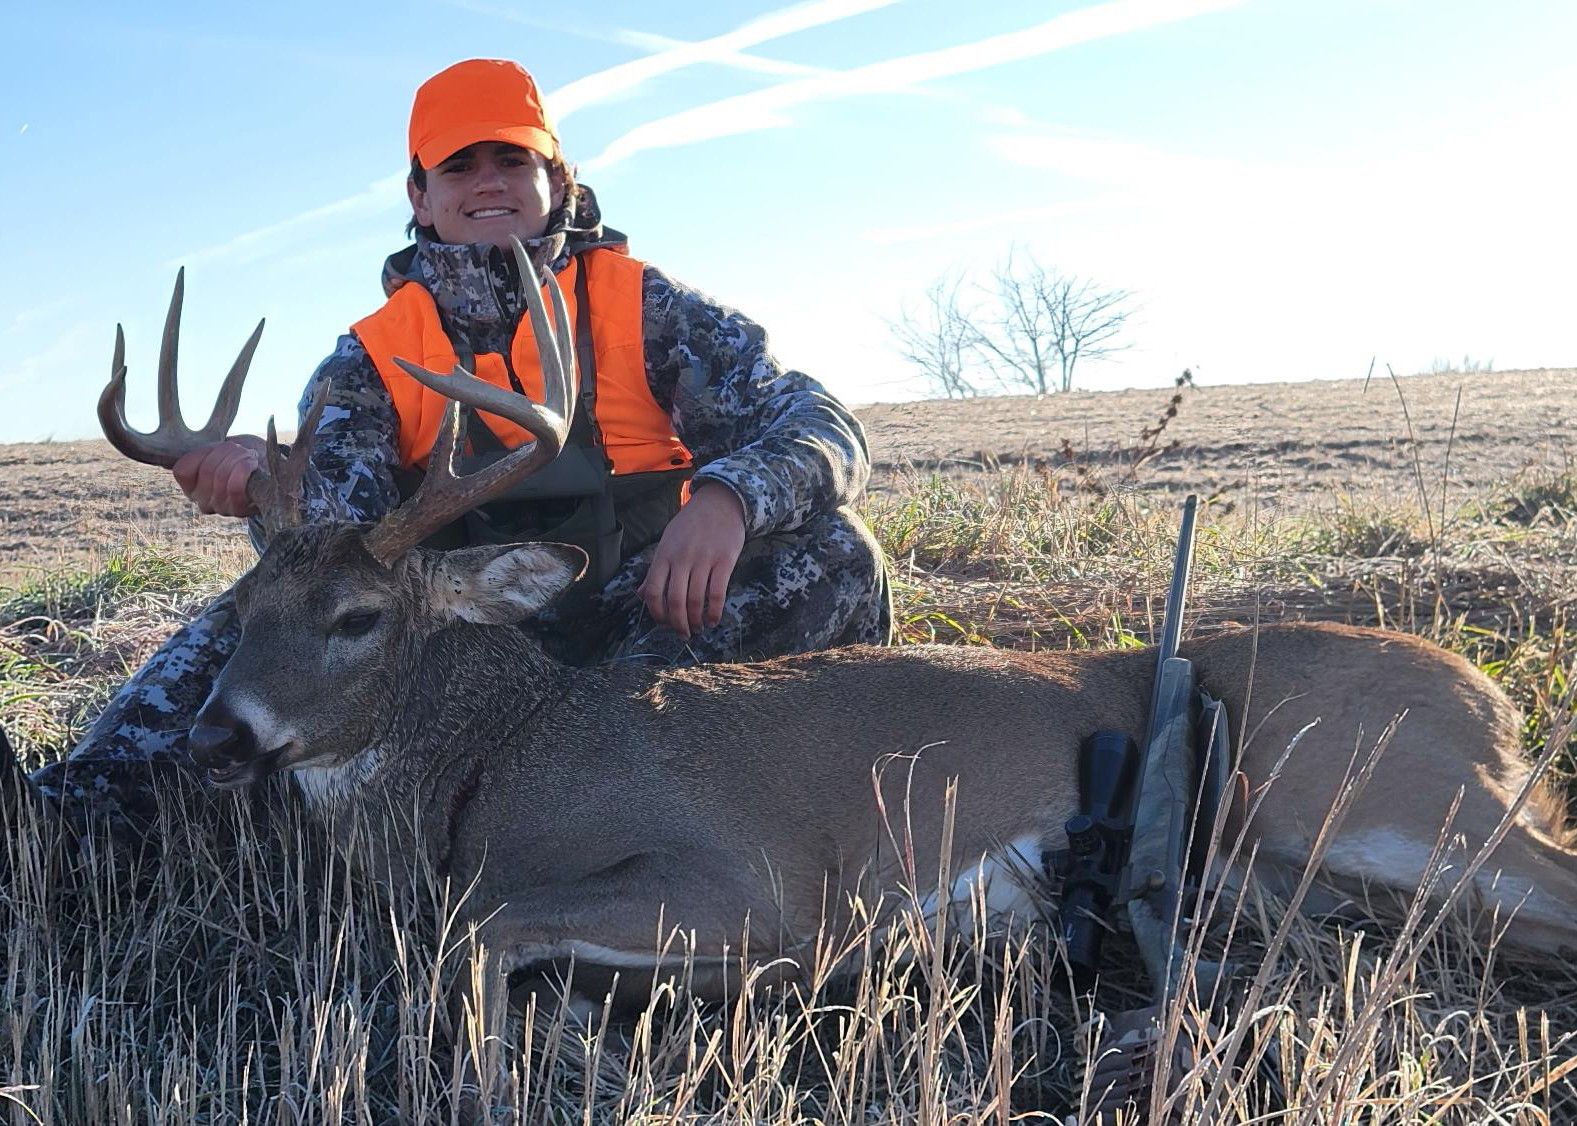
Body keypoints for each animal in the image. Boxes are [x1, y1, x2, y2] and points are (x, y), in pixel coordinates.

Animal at [90, 245, 1577, 1058]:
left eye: (357, 617)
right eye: (247, 606)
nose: (217, 734)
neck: (496, 768)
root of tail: (1488, 698)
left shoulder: (751, 875)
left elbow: (482, 935)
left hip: (1383, 793)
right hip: (1319, 855)